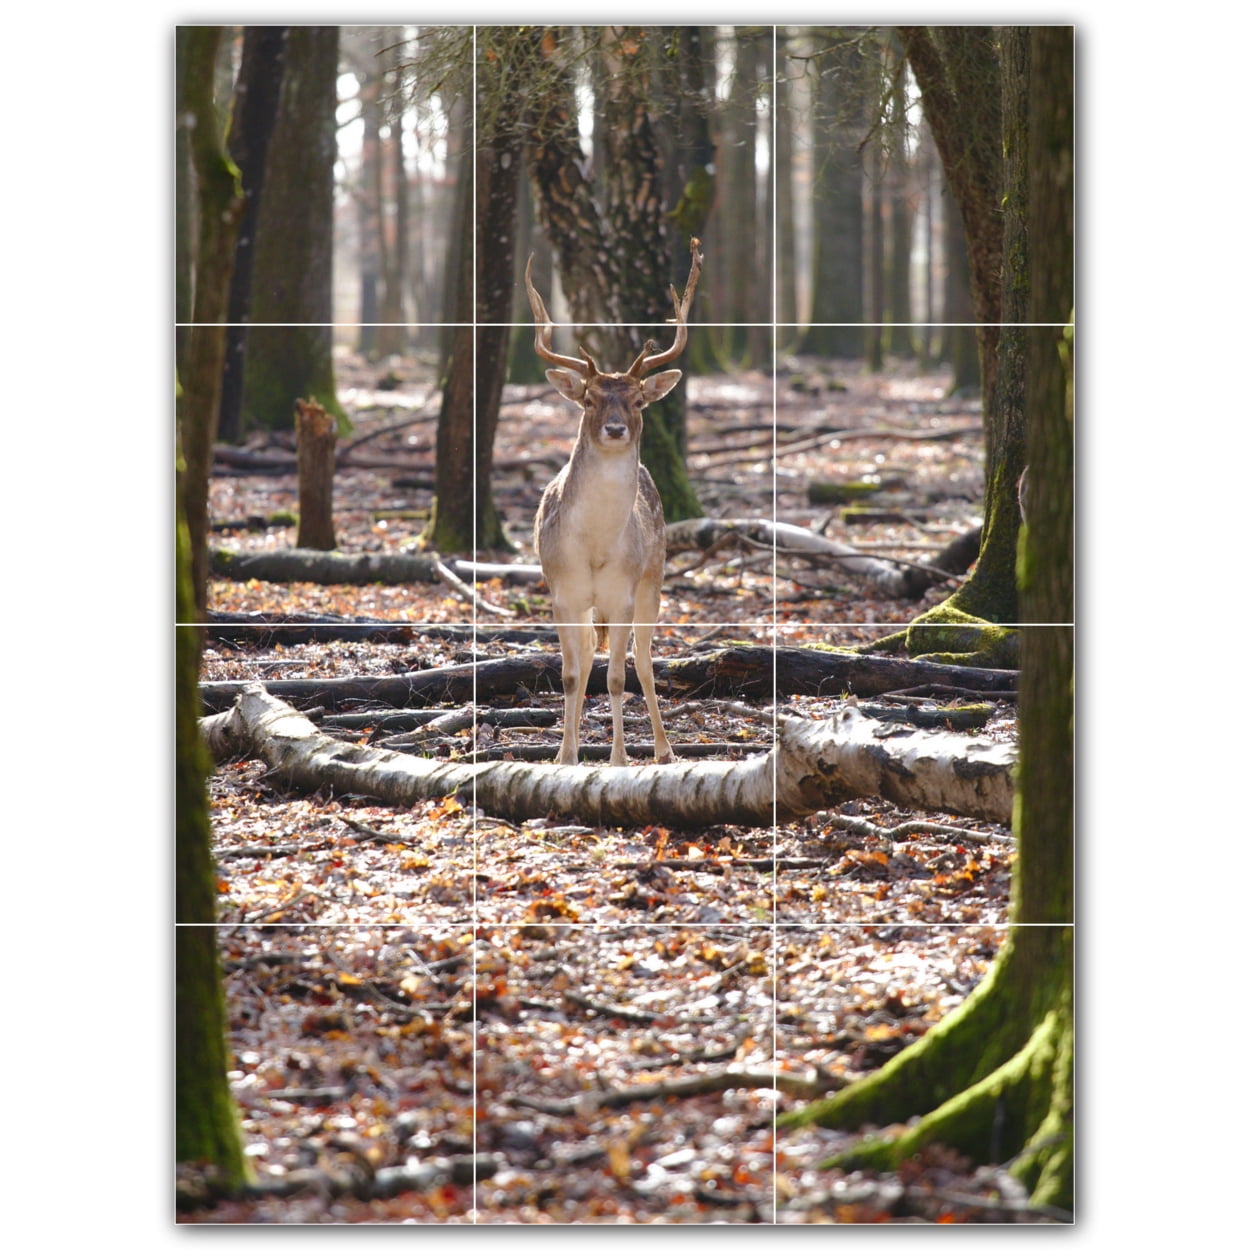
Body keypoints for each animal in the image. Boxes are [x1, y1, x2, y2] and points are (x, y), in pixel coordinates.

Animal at [525, 240, 703, 768]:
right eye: (588, 400)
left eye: (638, 401)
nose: (616, 428)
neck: (595, 548)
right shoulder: (561, 591)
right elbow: (570, 675)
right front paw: (565, 757)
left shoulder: (623, 593)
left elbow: (619, 677)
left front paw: (620, 759)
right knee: (586, 659)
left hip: (654, 579)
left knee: (644, 662)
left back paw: (664, 751)